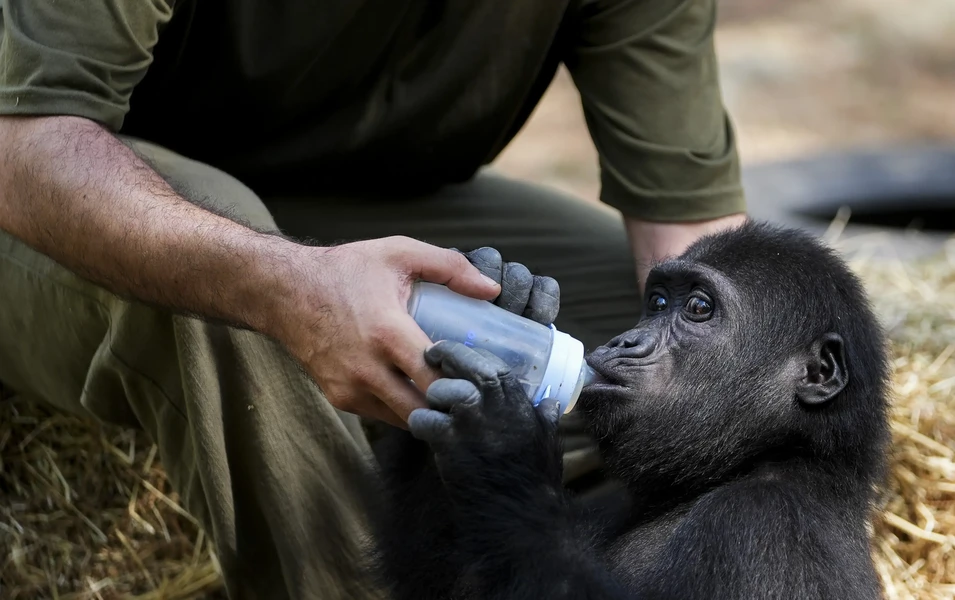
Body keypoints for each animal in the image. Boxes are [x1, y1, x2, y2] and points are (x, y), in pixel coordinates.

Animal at [367, 220, 890, 600]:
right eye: (656, 301)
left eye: (698, 307)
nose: (625, 341)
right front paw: (509, 297)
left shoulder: (764, 529)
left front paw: (501, 450)